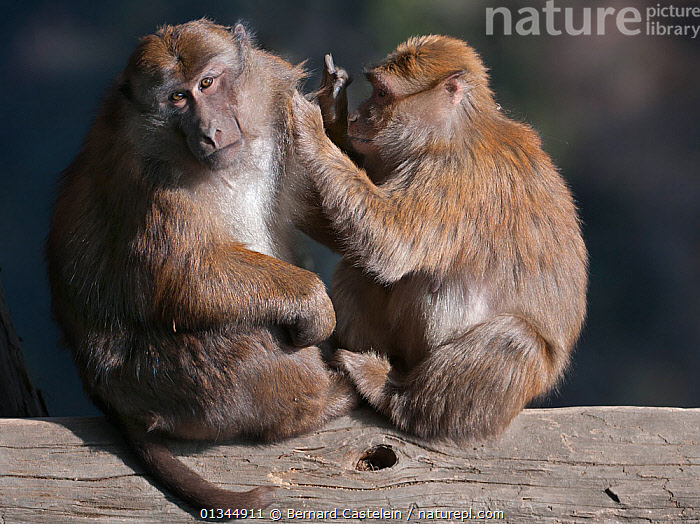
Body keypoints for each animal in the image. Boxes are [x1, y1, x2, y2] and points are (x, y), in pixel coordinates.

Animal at [46, 20, 357, 513]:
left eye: (207, 83)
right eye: (178, 97)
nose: (210, 131)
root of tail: (106, 396)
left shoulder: (276, 104)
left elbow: (323, 212)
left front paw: (334, 109)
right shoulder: (150, 175)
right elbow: (185, 278)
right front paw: (312, 304)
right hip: (165, 382)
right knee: (246, 332)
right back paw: (319, 405)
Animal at [292, 36, 588, 442]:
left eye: (382, 94)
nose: (357, 117)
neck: (451, 131)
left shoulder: (452, 177)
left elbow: (391, 243)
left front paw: (313, 130)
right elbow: (354, 238)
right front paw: (331, 108)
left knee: (515, 340)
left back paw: (394, 396)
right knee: (357, 268)